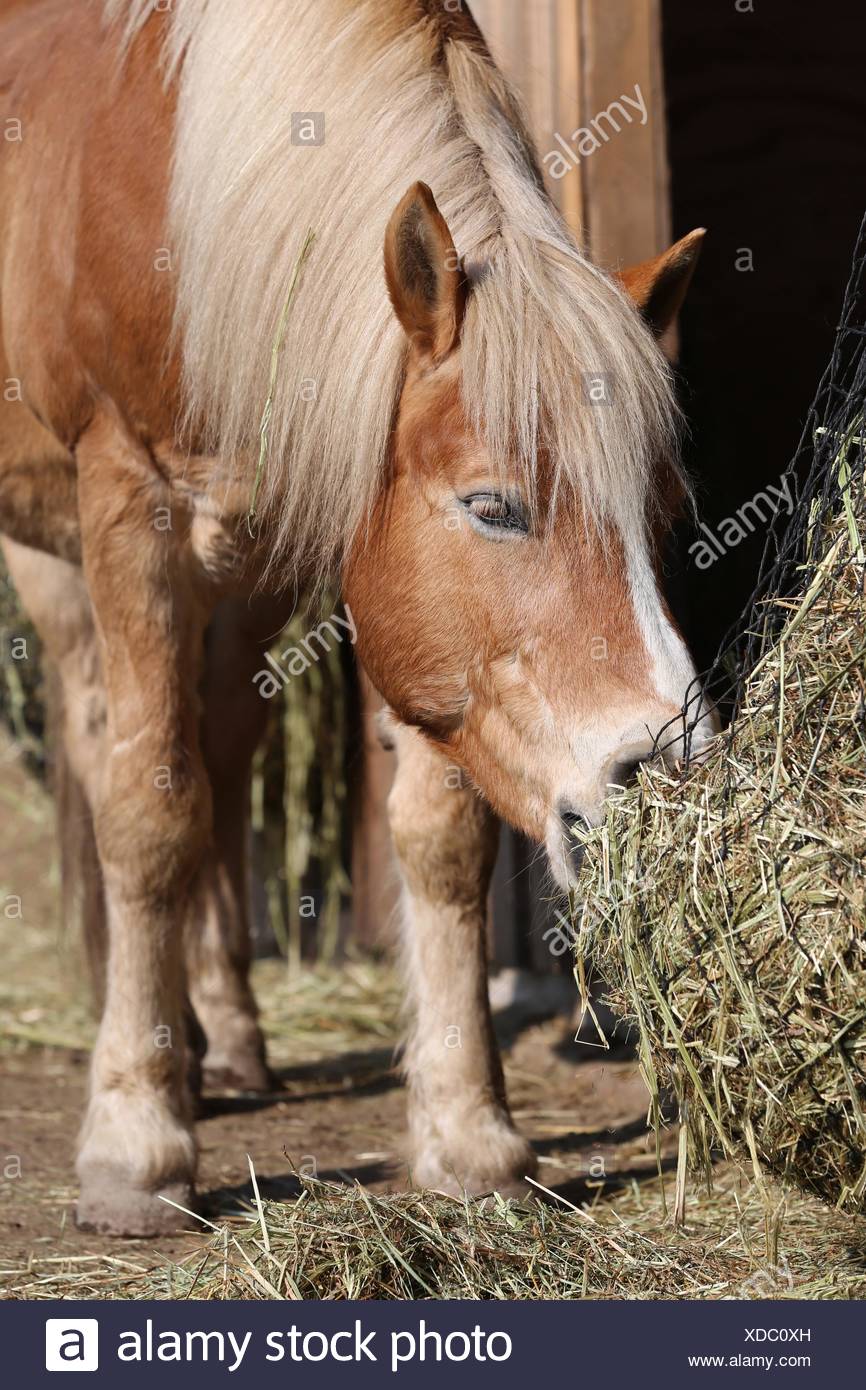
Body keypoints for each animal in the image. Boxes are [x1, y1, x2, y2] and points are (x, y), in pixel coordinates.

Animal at [0, 0, 714, 1235]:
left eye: (662, 514)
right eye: (493, 507)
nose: (660, 775)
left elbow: (440, 834)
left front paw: (469, 1133)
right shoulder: (129, 501)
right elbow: (148, 809)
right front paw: (135, 1143)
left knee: (222, 751)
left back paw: (225, 1037)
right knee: (110, 746)